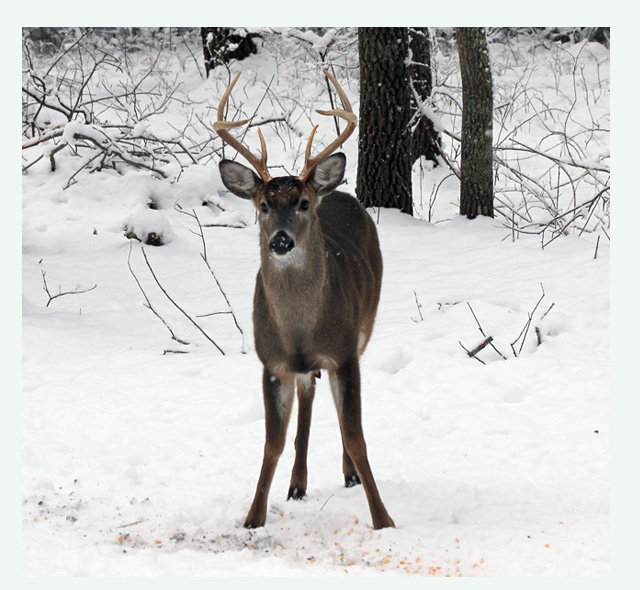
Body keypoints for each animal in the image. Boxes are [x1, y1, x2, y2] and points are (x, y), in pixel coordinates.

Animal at [213, 70, 395, 530]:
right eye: (262, 205)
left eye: (303, 203)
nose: (281, 240)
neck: (299, 329)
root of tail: (342, 193)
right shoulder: (272, 364)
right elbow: (272, 444)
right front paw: (253, 518)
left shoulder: (344, 354)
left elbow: (357, 436)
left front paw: (383, 518)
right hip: (304, 367)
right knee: (309, 397)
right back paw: (297, 484)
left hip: (365, 326)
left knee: (331, 407)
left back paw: (346, 475)